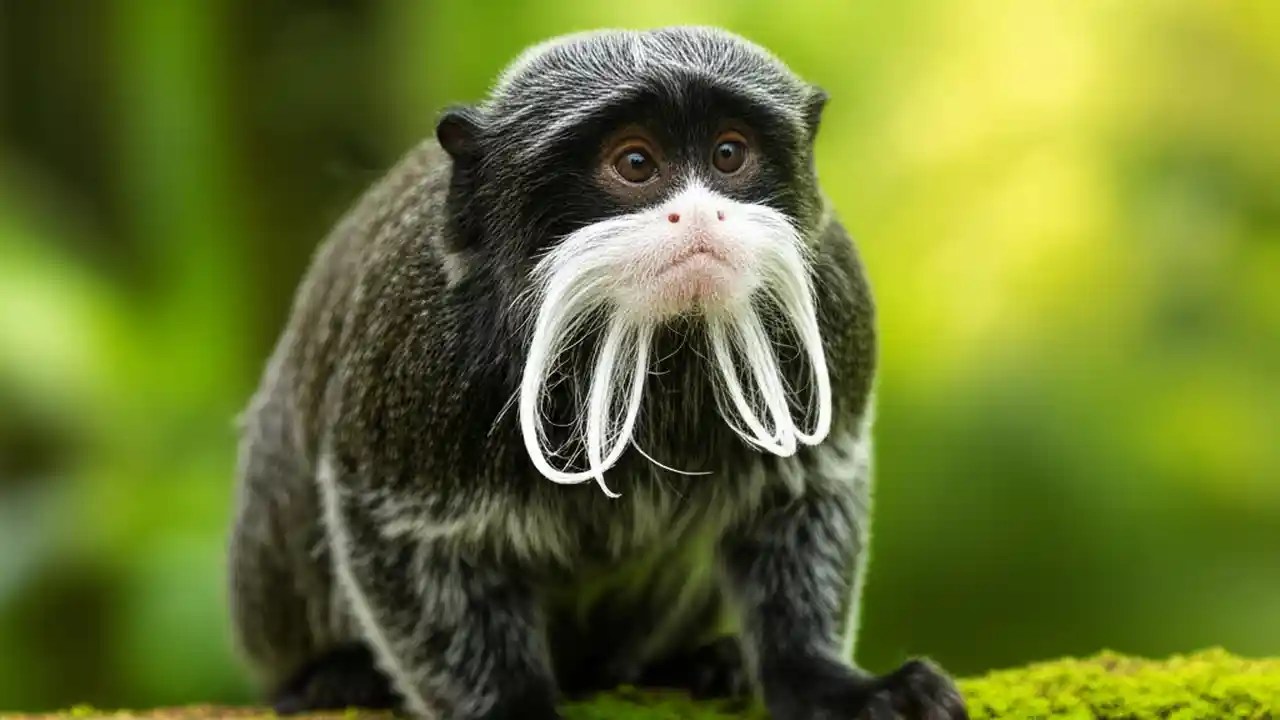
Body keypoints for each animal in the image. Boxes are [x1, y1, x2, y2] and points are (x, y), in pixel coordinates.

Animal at [227, 26, 968, 720]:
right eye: (636, 162)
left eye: (729, 154)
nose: (702, 213)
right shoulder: (412, 335)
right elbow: (406, 541)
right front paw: (510, 706)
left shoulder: (836, 292)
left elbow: (805, 497)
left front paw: (826, 680)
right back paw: (336, 672)